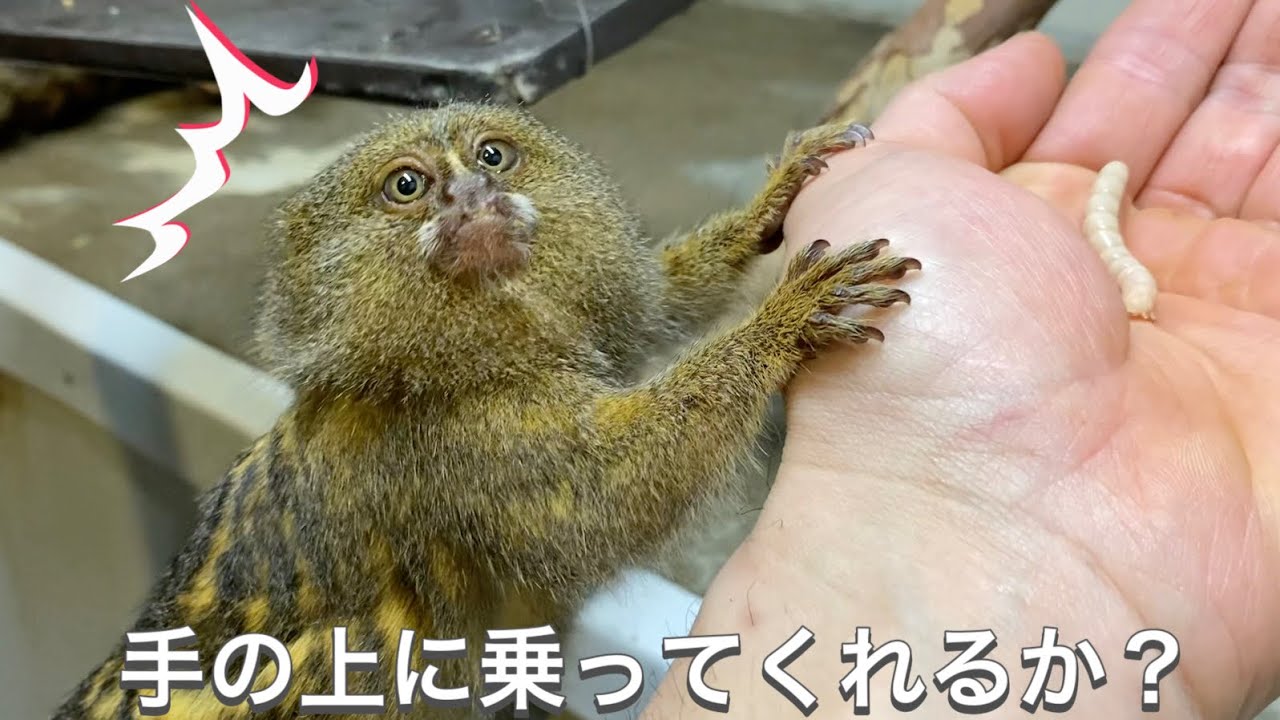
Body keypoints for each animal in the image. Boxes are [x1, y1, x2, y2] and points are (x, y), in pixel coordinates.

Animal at [50, 101, 919, 719]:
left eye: (492, 155)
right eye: (408, 186)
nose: (477, 191)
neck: (441, 361)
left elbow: (652, 305)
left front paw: (773, 197)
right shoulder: (456, 448)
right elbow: (603, 498)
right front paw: (785, 322)